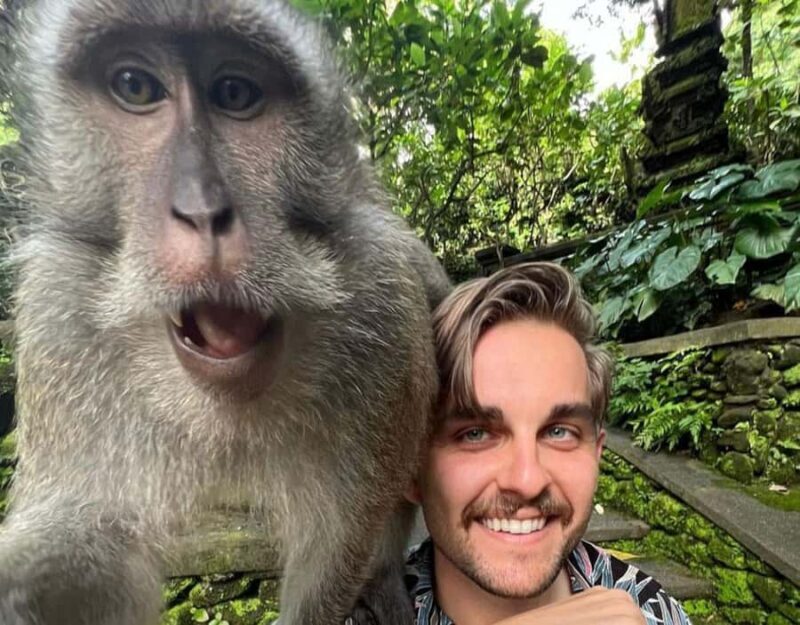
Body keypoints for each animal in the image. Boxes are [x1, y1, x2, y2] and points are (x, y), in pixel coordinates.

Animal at [0, 1, 451, 624]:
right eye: (135, 87)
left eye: (235, 93)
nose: (201, 210)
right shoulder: (56, 320)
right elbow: (96, 539)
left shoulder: (382, 310)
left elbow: (340, 538)